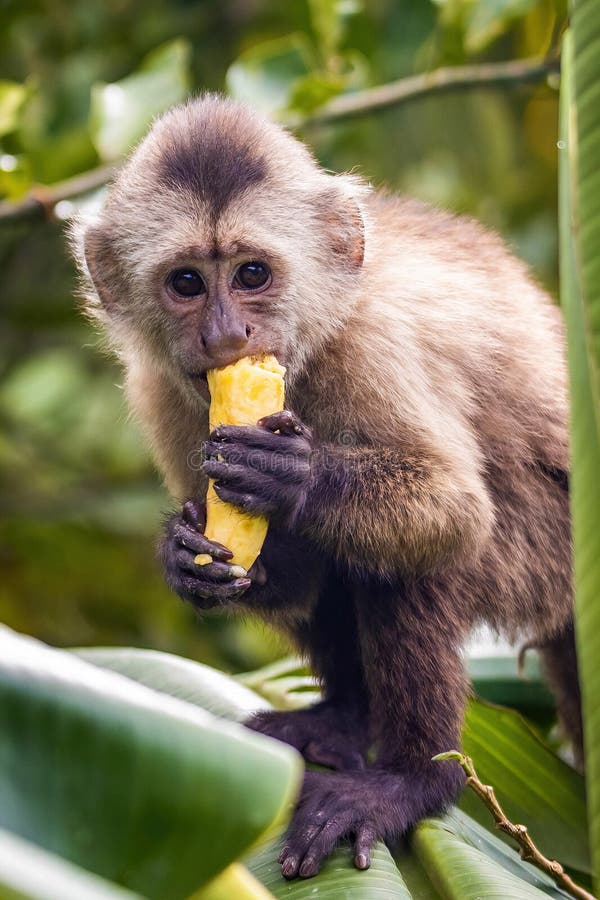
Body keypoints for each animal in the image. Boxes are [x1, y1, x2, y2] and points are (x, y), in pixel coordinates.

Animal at [72, 93, 578, 880]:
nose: (226, 336)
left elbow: (454, 514)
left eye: (252, 274)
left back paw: (412, 780)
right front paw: (184, 554)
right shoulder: (159, 392)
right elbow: (271, 565)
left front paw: (295, 479)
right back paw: (343, 720)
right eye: (186, 283)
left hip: (549, 556)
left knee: (413, 568)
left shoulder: (370, 346)